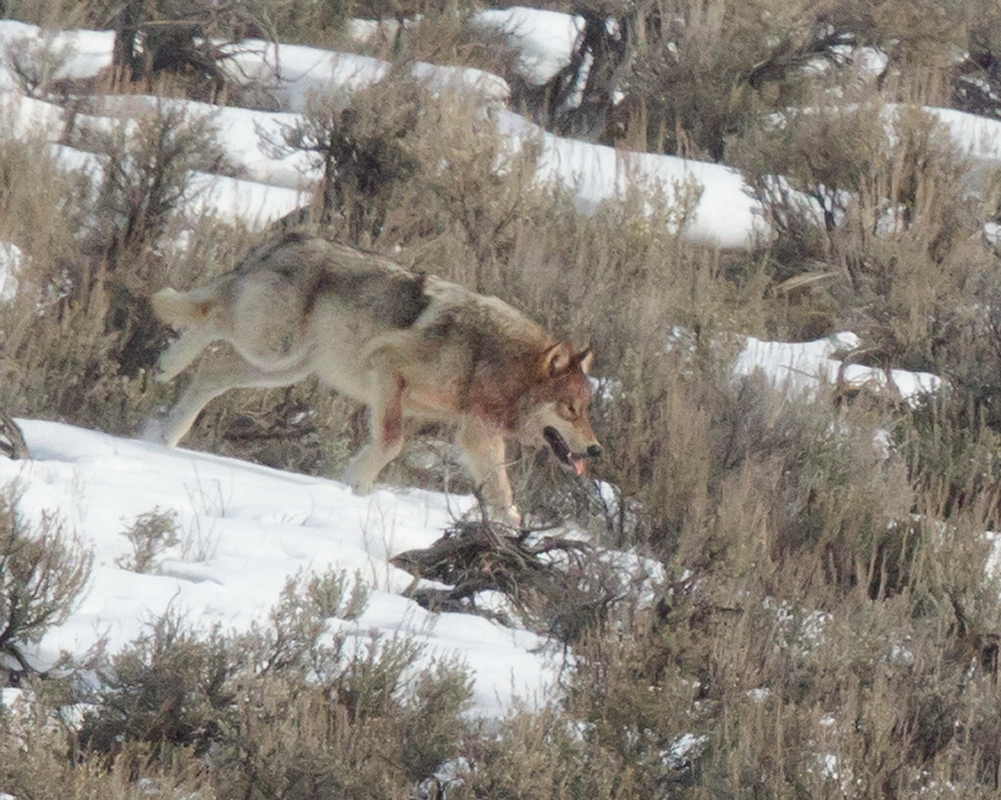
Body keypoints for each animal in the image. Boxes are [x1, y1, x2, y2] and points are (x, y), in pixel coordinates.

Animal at [145, 232, 601, 526]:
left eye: (585, 410)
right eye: (569, 409)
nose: (596, 450)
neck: (486, 357)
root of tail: (285, 239)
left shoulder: (478, 436)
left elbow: (503, 496)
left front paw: (513, 538)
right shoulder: (387, 369)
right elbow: (392, 441)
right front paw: (356, 484)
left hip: (281, 367)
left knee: (212, 371)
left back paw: (167, 435)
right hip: (272, 347)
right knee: (208, 315)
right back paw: (169, 363)